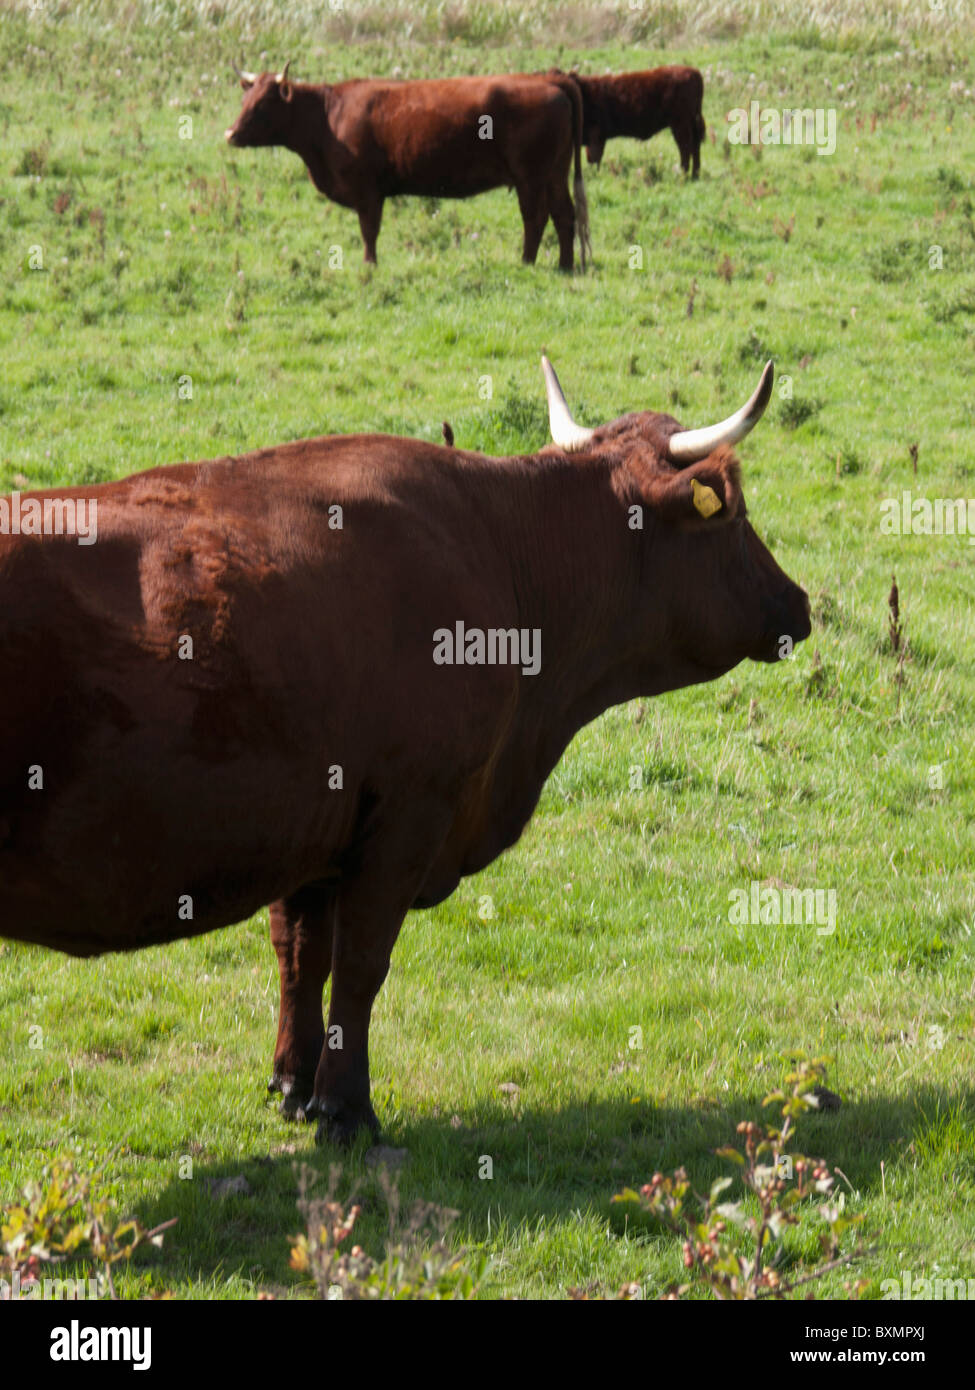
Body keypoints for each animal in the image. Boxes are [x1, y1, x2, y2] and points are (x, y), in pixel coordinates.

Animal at [0, 358, 810, 1146]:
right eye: (733, 511)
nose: (797, 603)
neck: (499, 552)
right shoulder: (407, 815)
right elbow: (360, 965)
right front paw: (345, 1109)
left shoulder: (311, 828)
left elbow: (302, 956)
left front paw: (293, 1084)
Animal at [225, 64, 591, 269]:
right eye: (244, 99)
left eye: (263, 104)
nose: (230, 134)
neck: (328, 116)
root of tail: (549, 79)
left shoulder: (367, 190)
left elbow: (369, 230)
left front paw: (369, 266)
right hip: (554, 174)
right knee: (563, 215)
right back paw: (565, 266)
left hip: (531, 176)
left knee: (536, 218)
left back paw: (527, 263)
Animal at [564, 66, 706, 177]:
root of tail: (693, 72)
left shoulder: (595, 135)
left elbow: (594, 158)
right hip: (690, 123)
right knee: (695, 146)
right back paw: (695, 175)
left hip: (680, 124)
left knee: (685, 148)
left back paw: (682, 175)